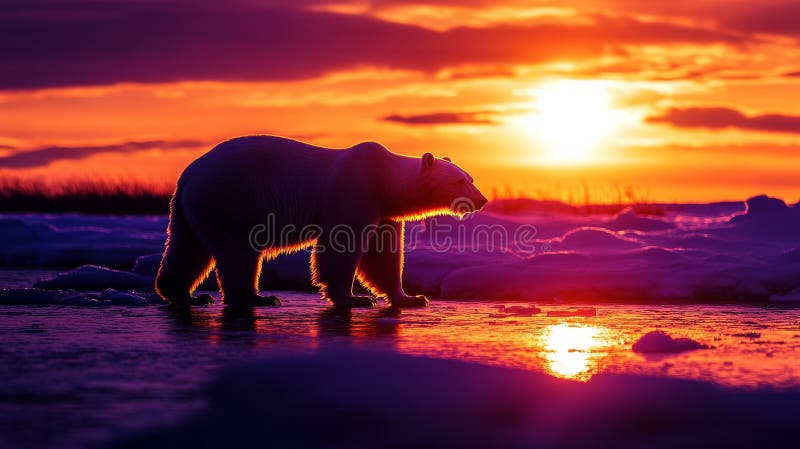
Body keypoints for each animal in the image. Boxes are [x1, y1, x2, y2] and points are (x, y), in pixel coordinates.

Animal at [155, 135, 487, 308]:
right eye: (460, 181)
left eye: (470, 178)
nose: (482, 199)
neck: (384, 178)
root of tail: (188, 175)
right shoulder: (354, 189)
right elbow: (342, 244)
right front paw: (353, 298)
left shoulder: (384, 211)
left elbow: (384, 254)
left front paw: (411, 298)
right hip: (231, 199)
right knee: (237, 252)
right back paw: (258, 297)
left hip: (189, 210)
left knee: (187, 248)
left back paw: (186, 294)